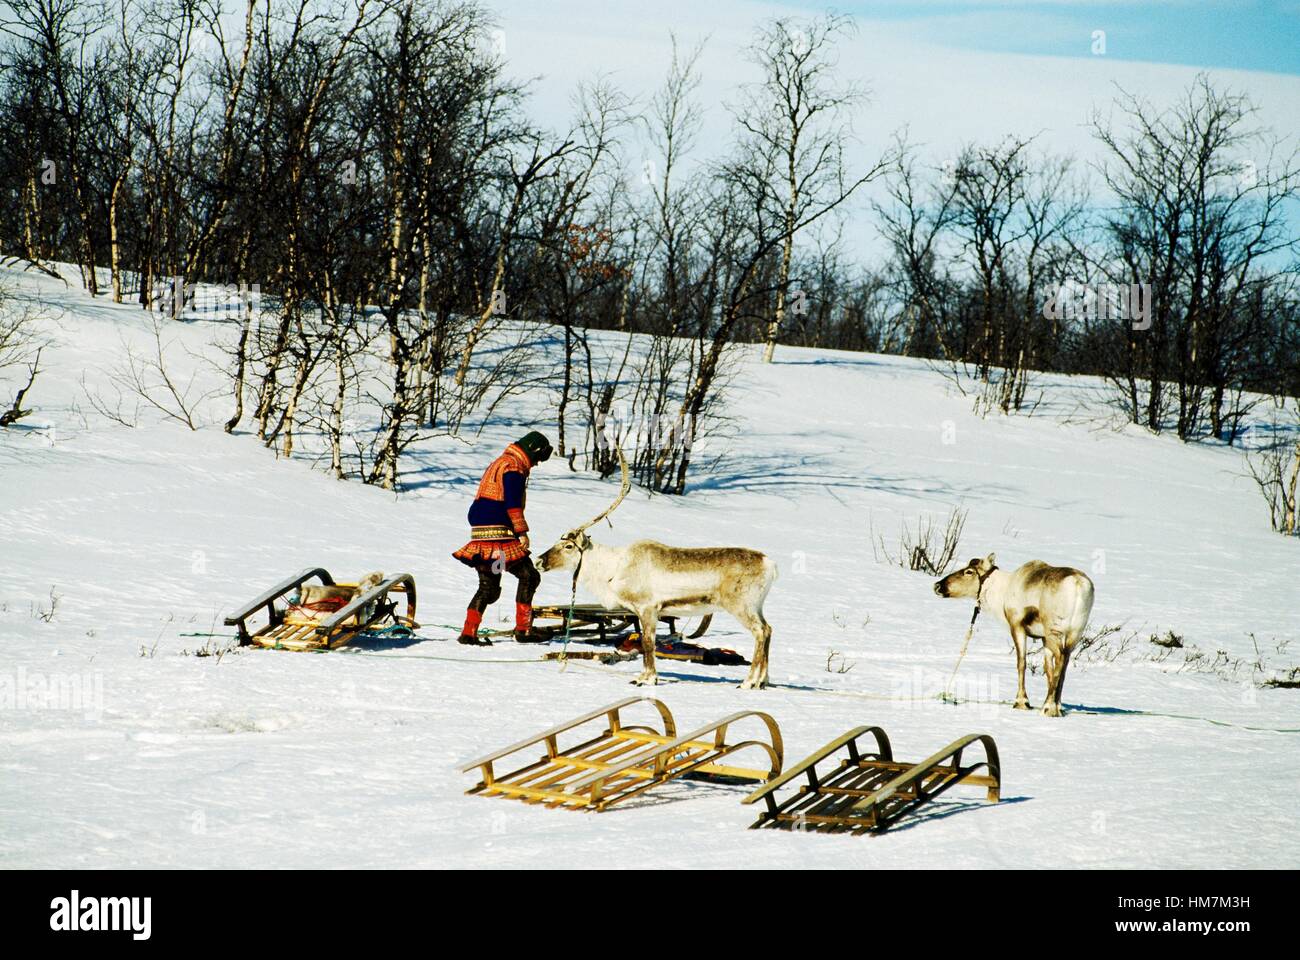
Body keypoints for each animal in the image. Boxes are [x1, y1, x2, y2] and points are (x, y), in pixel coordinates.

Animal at [535, 450, 778, 689]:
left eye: (568, 546)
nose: (538, 560)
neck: (612, 570)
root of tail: (770, 564)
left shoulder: (648, 607)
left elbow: (648, 642)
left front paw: (647, 678)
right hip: (757, 606)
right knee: (769, 629)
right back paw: (763, 681)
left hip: (741, 605)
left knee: (761, 631)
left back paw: (749, 682)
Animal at [933, 554, 1094, 717]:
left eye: (969, 571)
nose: (937, 586)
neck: (1001, 593)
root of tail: (1079, 585)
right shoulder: (1043, 637)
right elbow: (1048, 669)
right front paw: (1057, 706)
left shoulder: (1017, 626)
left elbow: (1021, 663)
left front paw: (1022, 702)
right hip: (1074, 633)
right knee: (1064, 665)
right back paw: (1054, 706)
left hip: (1054, 631)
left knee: (1060, 659)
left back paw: (1048, 707)